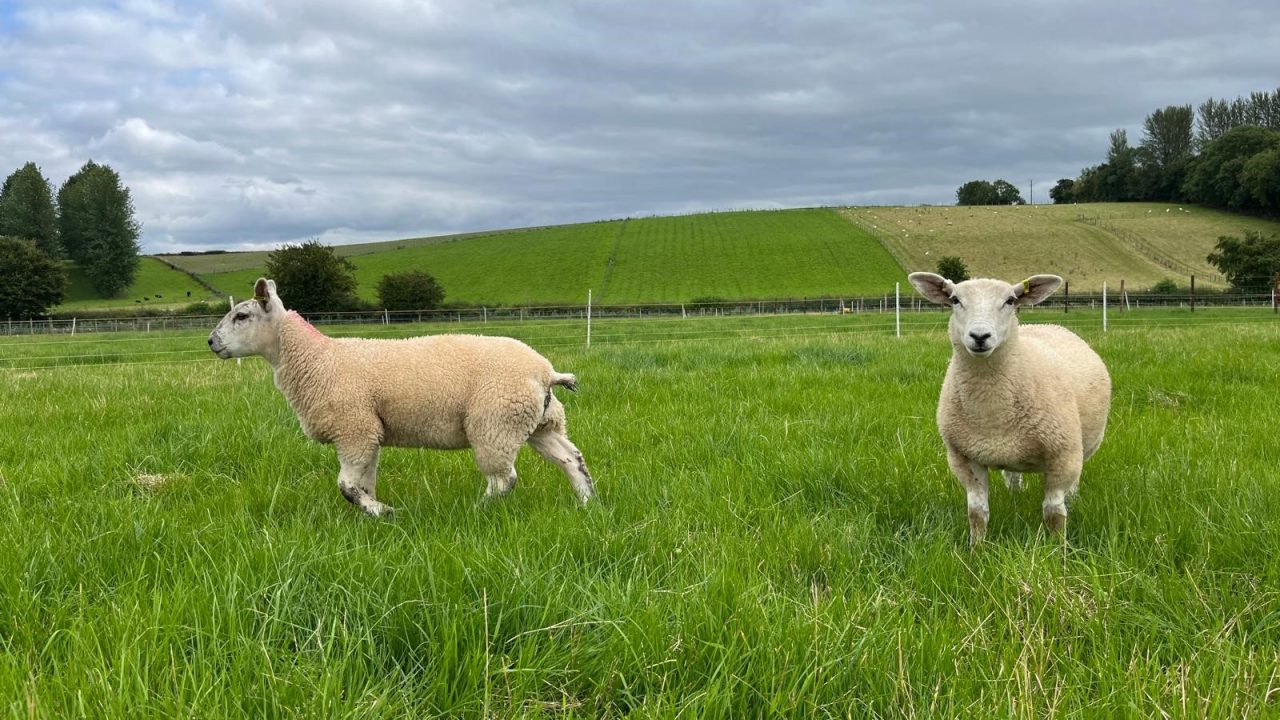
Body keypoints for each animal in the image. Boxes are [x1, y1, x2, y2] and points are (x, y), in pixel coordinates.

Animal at [207, 278, 596, 517]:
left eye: (241, 315)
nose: (210, 342)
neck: (317, 360)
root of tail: (545, 372)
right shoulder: (367, 434)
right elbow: (364, 483)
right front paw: (371, 512)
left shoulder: (355, 429)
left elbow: (346, 486)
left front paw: (383, 512)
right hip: (541, 423)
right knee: (571, 459)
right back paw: (588, 503)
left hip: (495, 423)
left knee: (504, 480)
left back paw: (475, 510)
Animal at [907, 272, 1111, 546]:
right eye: (955, 300)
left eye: (1011, 300)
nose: (979, 336)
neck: (991, 414)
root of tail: (1050, 325)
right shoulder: (964, 457)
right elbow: (977, 513)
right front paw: (976, 549)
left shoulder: (1062, 453)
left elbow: (1054, 513)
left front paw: (1058, 549)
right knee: (1012, 477)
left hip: (1083, 447)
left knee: (1074, 482)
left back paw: (1074, 500)